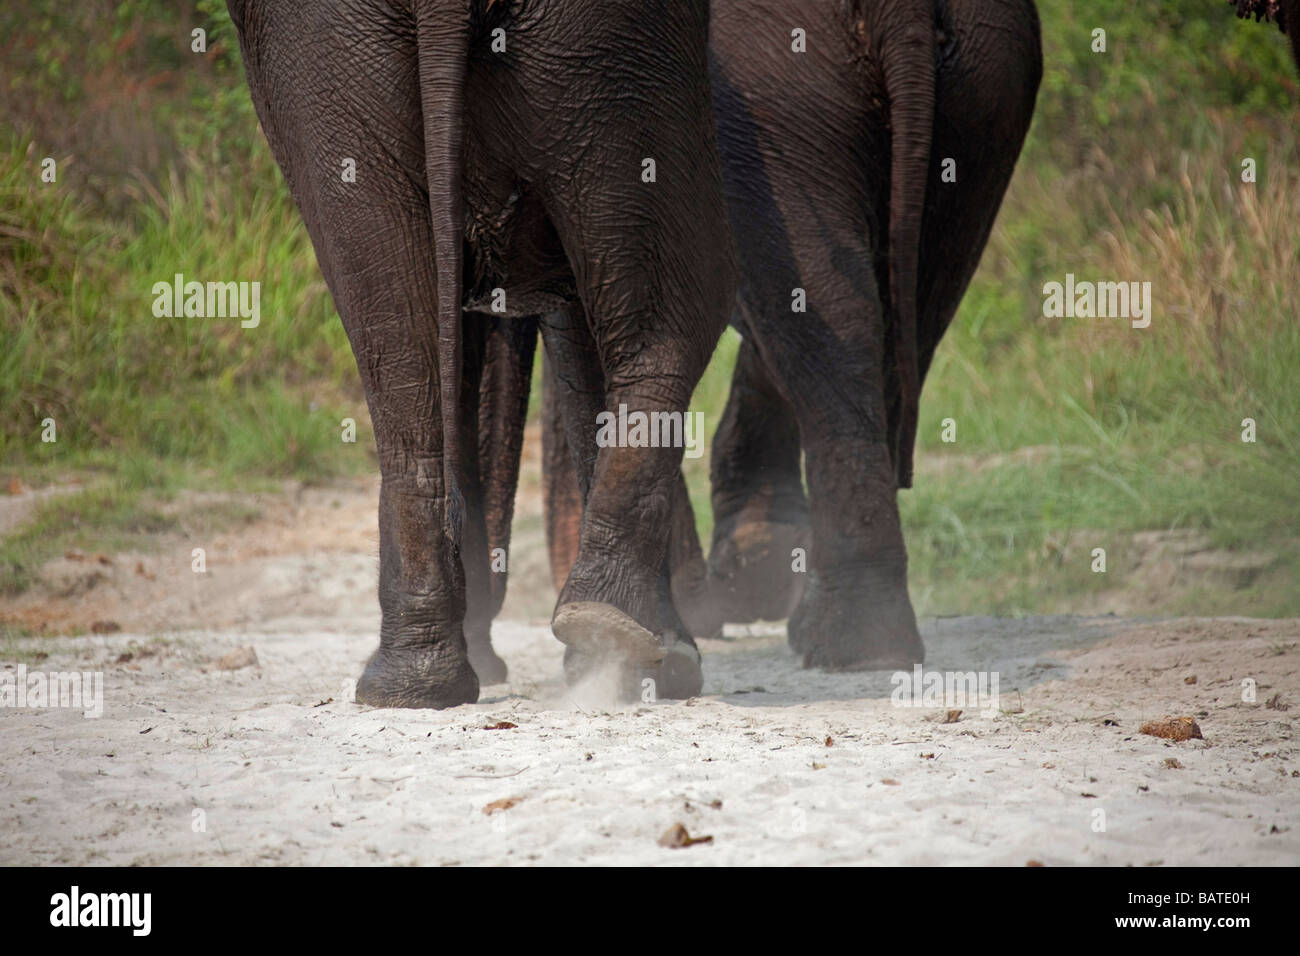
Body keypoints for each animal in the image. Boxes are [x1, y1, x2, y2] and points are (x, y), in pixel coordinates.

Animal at [537, 0, 1043, 670]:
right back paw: (861, 640)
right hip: (984, 84)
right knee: (889, 304)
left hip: (769, 95)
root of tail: (901, 11)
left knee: (827, 305)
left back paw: (839, 642)